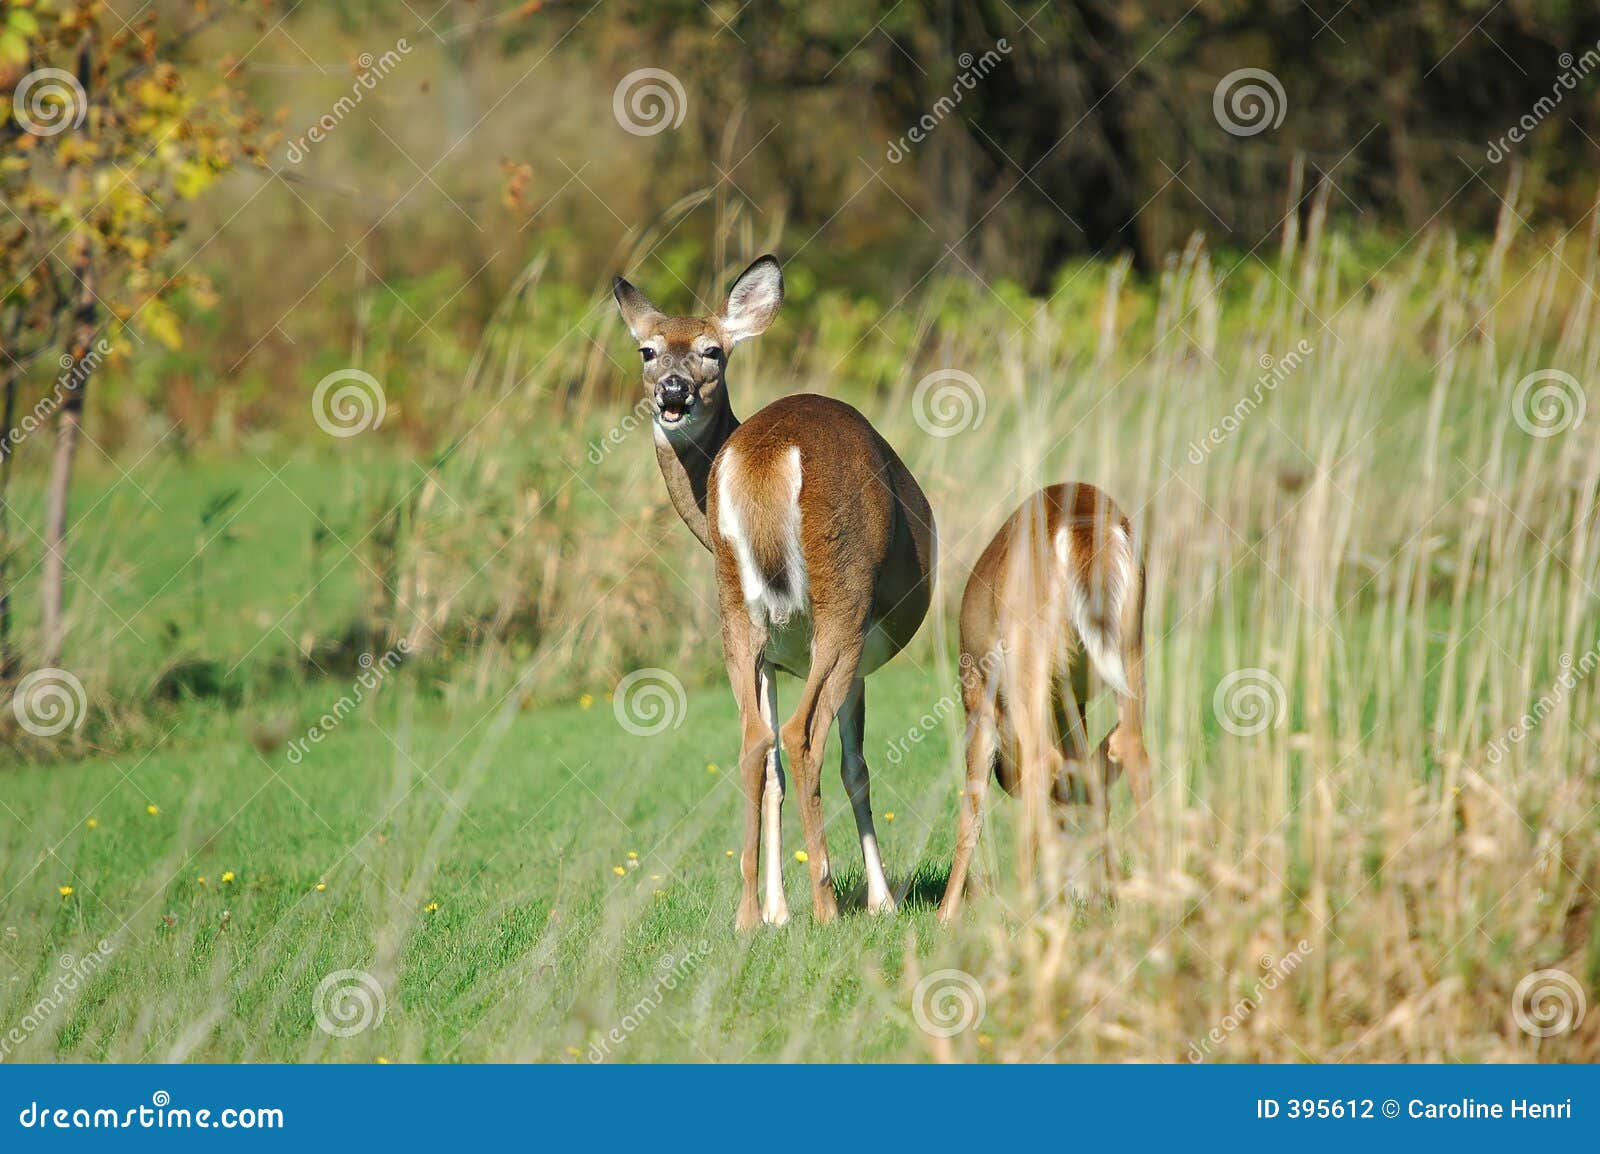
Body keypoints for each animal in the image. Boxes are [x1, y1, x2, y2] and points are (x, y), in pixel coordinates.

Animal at [612, 255, 936, 930]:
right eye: (647, 349)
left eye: (712, 350)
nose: (673, 391)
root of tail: (768, 453)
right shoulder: (850, 655)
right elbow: (855, 765)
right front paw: (878, 901)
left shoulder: (773, 654)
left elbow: (775, 773)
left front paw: (776, 912)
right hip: (844, 597)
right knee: (799, 736)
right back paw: (827, 906)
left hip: (735, 611)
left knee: (754, 743)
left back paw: (745, 915)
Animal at [937, 482, 1151, 923]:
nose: (1006, 777)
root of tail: (1081, 521)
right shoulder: (1072, 704)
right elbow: (1083, 776)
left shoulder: (979, 699)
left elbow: (971, 809)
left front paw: (945, 915)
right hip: (1131, 645)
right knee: (1130, 747)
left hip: (1025, 661)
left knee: (1043, 762)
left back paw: (1022, 907)